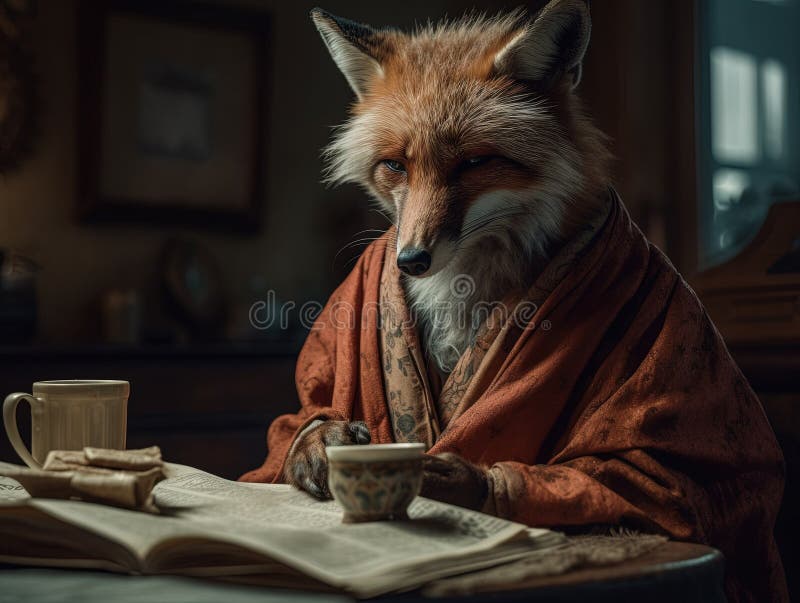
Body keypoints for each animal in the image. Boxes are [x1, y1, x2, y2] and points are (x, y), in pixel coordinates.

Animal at [287, 0, 611, 499]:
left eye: (474, 162)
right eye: (395, 165)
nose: (410, 261)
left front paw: (448, 477)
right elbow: (302, 418)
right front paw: (319, 437)